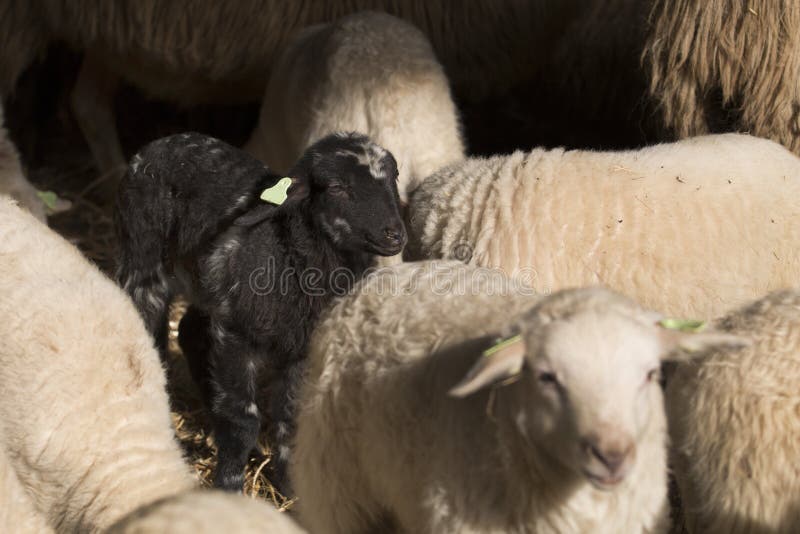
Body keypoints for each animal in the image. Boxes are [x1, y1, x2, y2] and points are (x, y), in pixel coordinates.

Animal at [116, 131, 406, 494]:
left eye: (394, 179)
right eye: (337, 187)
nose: (395, 234)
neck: (289, 254)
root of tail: (164, 140)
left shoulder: (300, 349)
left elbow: (289, 421)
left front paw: (289, 487)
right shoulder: (236, 335)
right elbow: (242, 421)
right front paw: (229, 486)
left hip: (208, 284)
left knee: (190, 330)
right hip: (143, 259)